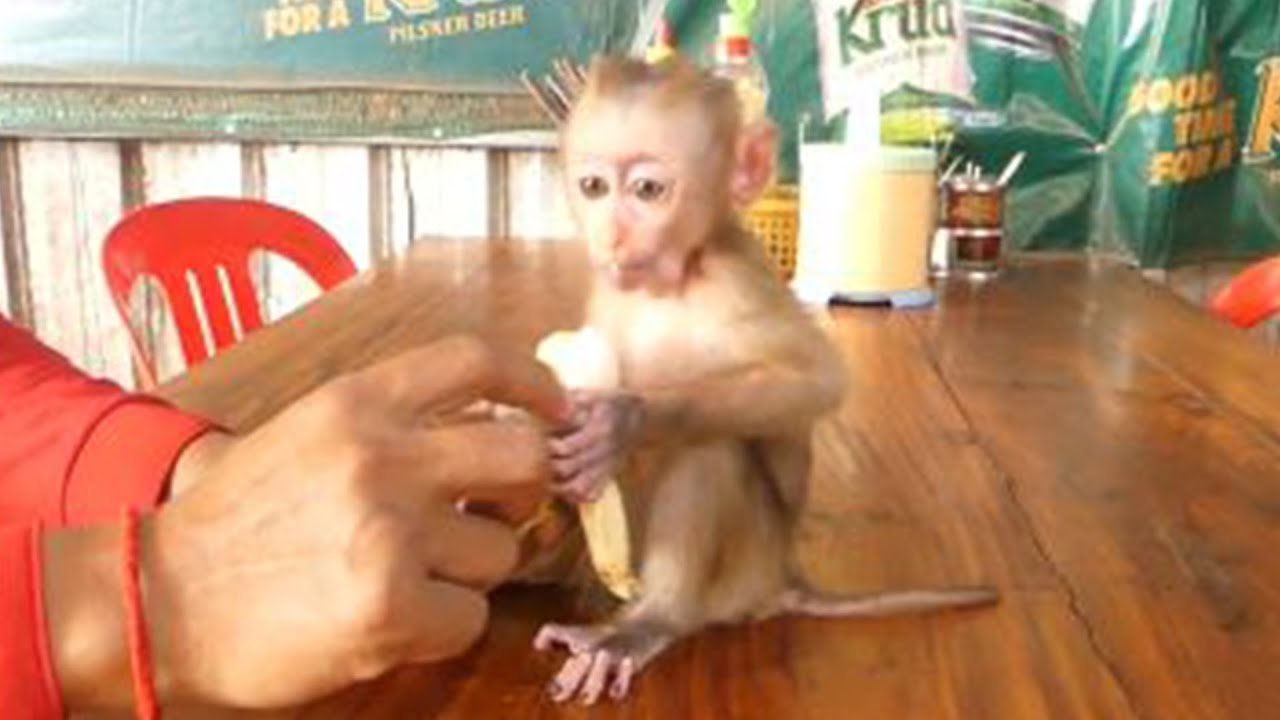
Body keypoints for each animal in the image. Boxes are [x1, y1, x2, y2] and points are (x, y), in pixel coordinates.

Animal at [528, 54, 999, 705]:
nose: (614, 237)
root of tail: (784, 576)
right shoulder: (608, 288)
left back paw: (650, 622)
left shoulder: (738, 280)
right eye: (594, 187)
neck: (673, 280)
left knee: (712, 448)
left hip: (742, 572)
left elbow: (816, 381)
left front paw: (623, 422)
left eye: (648, 190)